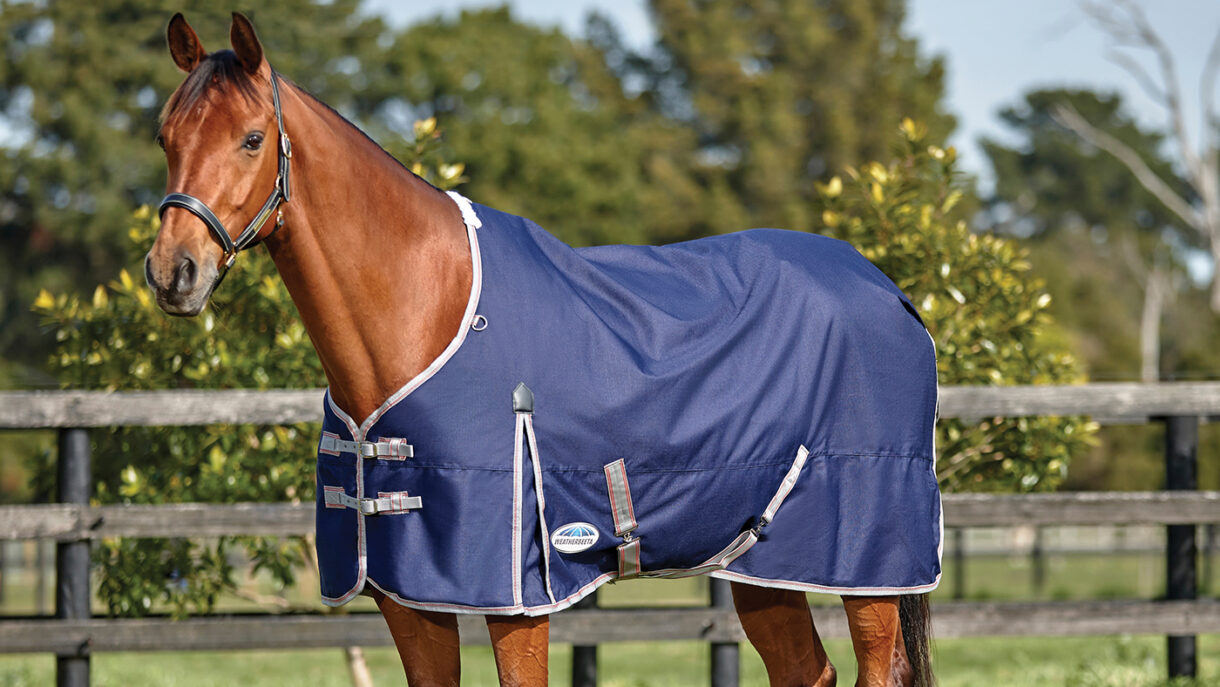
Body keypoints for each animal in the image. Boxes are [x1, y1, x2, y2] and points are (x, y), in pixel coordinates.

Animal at [145, 13, 939, 687]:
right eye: (164, 137)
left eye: (251, 138)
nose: (172, 272)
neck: (426, 310)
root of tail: (884, 288)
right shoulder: (407, 592)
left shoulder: (515, 594)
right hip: (761, 564)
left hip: (865, 562)